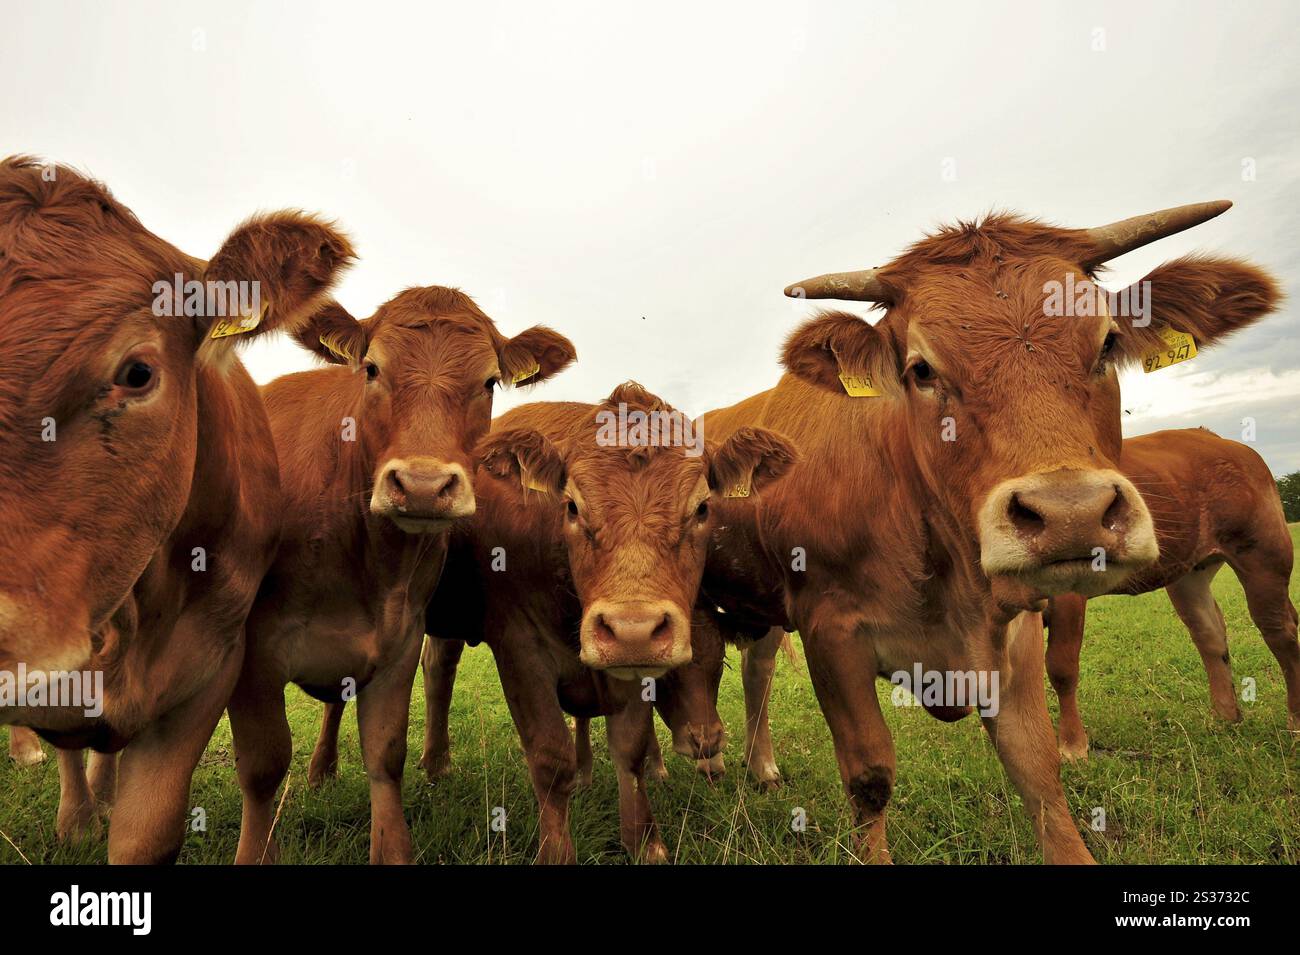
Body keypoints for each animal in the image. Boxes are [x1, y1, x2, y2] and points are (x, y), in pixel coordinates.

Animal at [228, 289, 576, 865]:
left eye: (489, 382)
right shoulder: (251, 652)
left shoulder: (399, 637)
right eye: (371, 368)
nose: (422, 485)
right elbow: (262, 765)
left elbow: (386, 753)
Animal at [396, 383, 796, 863]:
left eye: (702, 508)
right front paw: (556, 852)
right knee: (438, 668)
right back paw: (434, 765)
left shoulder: (631, 662)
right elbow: (550, 757)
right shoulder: (520, 649)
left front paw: (645, 842)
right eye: (571, 506)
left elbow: (630, 748)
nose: (633, 627)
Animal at [1045, 427, 1300, 759]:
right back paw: (1225, 718)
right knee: (1210, 633)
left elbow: (1061, 667)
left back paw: (1295, 723)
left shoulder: (1067, 591)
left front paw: (1072, 748)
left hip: (1264, 555)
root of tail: (1218, 440)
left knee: (1281, 632)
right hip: (1189, 575)